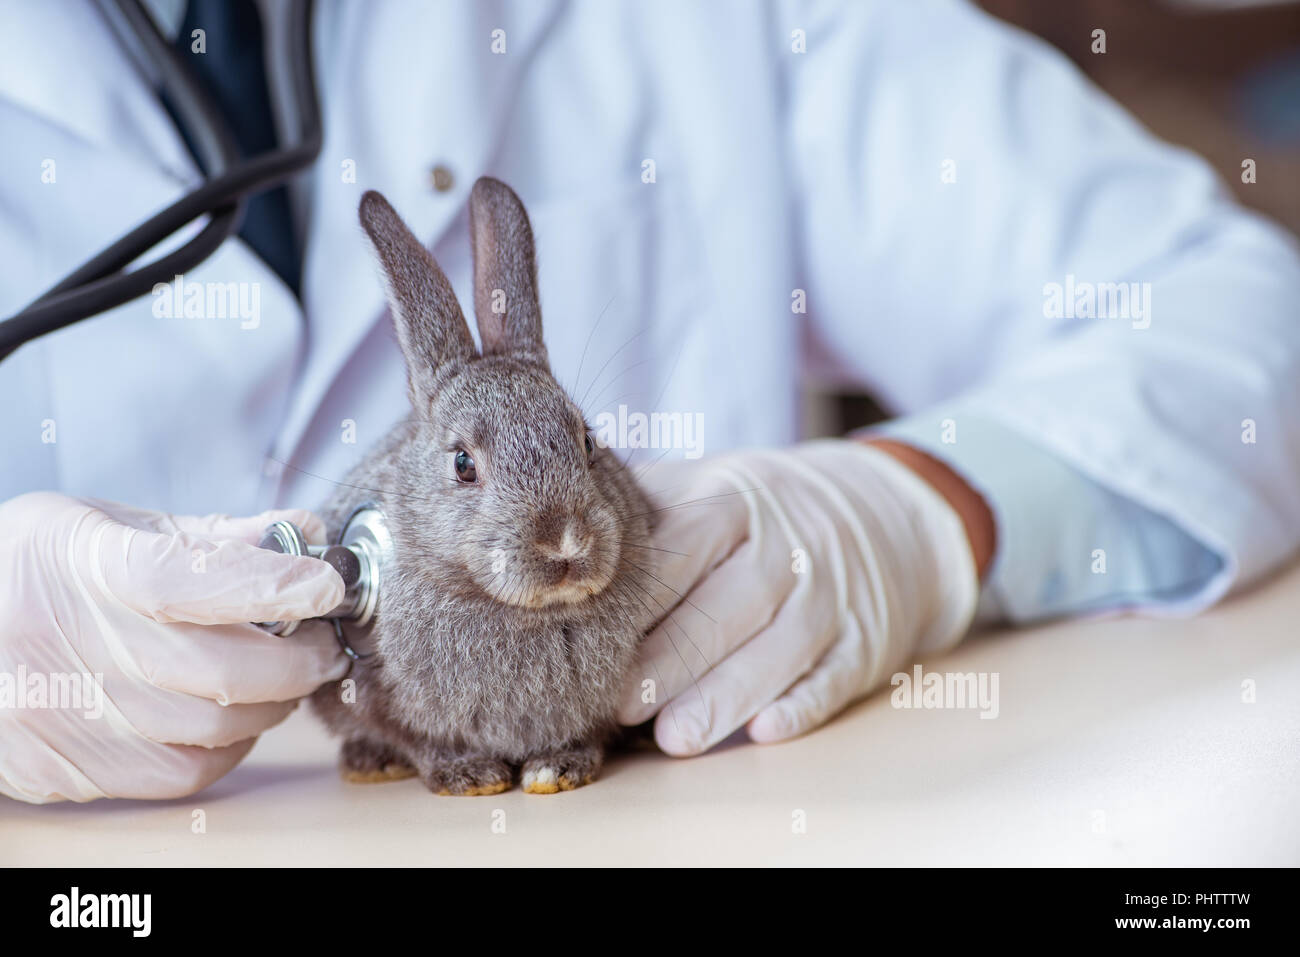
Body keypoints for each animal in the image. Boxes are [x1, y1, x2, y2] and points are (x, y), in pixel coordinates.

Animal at [309, 178, 660, 796]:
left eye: (588, 441)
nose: (565, 543)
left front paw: (558, 768)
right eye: (464, 465)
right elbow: (418, 737)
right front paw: (468, 776)